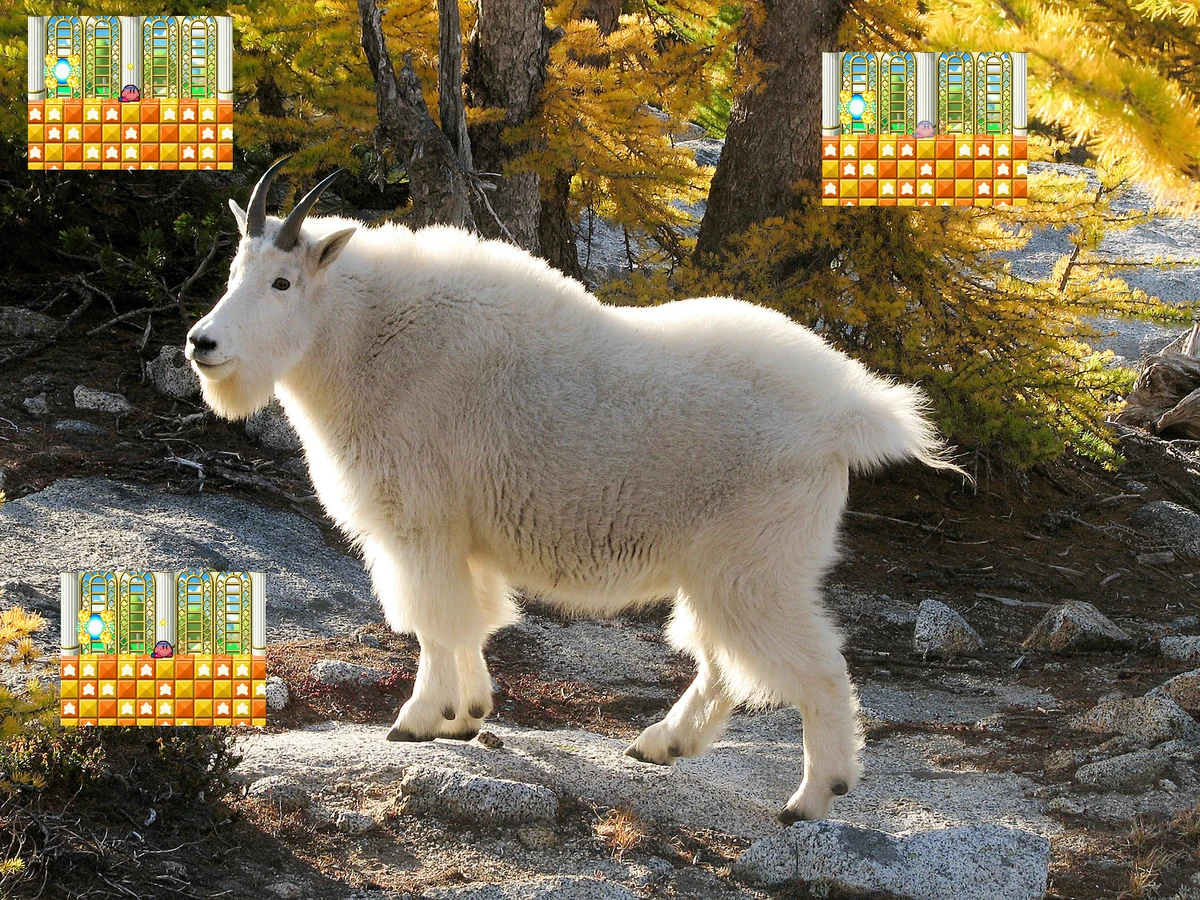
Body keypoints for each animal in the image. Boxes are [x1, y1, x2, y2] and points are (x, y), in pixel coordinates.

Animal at [187, 158, 962, 823]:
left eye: (282, 282)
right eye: (234, 270)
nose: (203, 343)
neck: (369, 336)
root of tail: (850, 413)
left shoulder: (419, 521)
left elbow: (434, 620)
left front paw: (416, 721)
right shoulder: (458, 534)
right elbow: (472, 618)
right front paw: (468, 715)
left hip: (755, 561)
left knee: (814, 667)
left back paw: (813, 795)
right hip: (723, 565)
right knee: (721, 659)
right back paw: (660, 744)